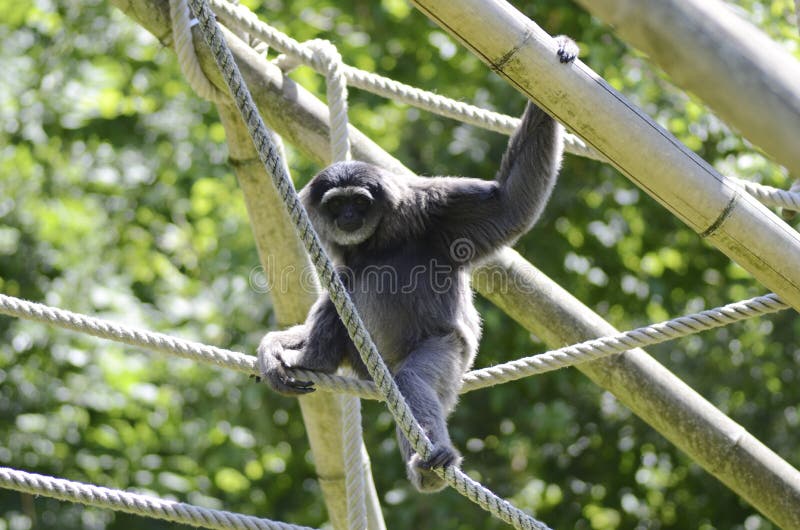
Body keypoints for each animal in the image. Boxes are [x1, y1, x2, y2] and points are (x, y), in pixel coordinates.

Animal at [258, 36, 578, 493]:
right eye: (336, 205)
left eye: (359, 202)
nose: (348, 217)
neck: (379, 241)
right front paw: (273, 347)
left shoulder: (434, 208)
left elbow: (510, 205)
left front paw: (556, 61)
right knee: (343, 293)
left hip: (449, 350)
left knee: (412, 378)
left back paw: (431, 463)